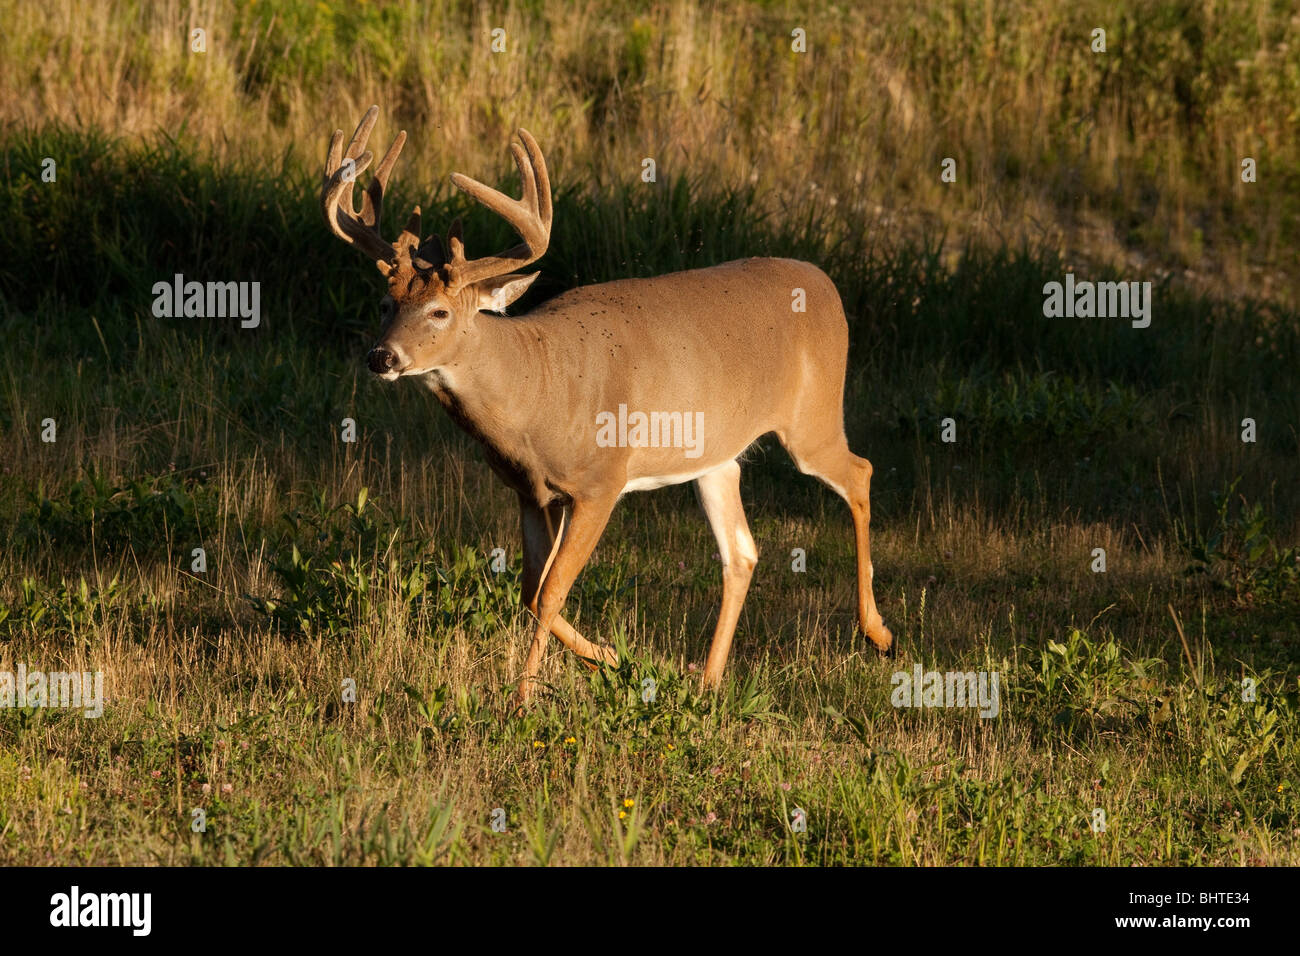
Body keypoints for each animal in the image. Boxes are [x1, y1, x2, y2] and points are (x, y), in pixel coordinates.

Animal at [320, 106, 894, 710]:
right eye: (385, 303)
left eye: (438, 313)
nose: (381, 356)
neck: (537, 388)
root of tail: (826, 284)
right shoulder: (529, 492)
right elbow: (530, 592)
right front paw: (614, 659)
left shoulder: (601, 481)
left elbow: (551, 592)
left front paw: (523, 700)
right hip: (716, 458)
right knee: (743, 552)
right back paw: (707, 682)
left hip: (812, 418)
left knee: (859, 472)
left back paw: (878, 632)